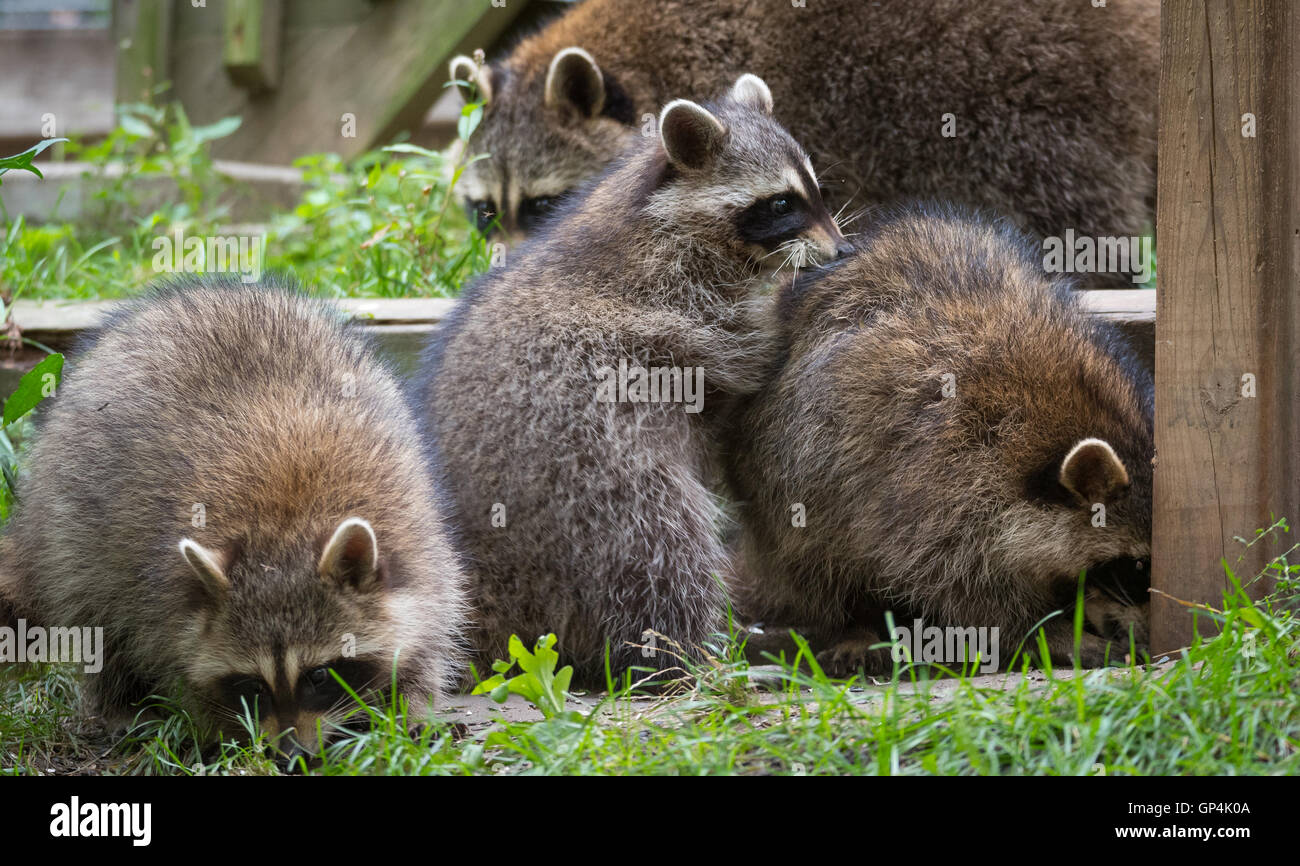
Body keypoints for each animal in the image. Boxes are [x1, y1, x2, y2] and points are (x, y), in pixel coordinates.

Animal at [0, 279, 466, 768]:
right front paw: (229, 736)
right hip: (72, 528)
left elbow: (427, 639)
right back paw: (122, 706)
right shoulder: (162, 600)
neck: (285, 533)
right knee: (101, 622)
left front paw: (409, 708)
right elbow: (178, 665)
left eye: (319, 676)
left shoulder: (419, 540)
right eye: (253, 686)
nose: (291, 758)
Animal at [420, 75, 850, 683]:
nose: (842, 250)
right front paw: (784, 305)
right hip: (589, 474)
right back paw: (684, 656)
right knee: (659, 546)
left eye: (815, 190)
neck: (658, 208)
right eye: (781, 203)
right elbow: (739, 346)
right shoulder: (669, 300)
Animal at [726, 205, 1153, 674]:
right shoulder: (938, 479)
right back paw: (859, 623)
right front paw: (1049, 633)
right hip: (778, 476)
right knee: (814, 552)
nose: (1161, 638)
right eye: (1135, 565)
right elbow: (957, 583)